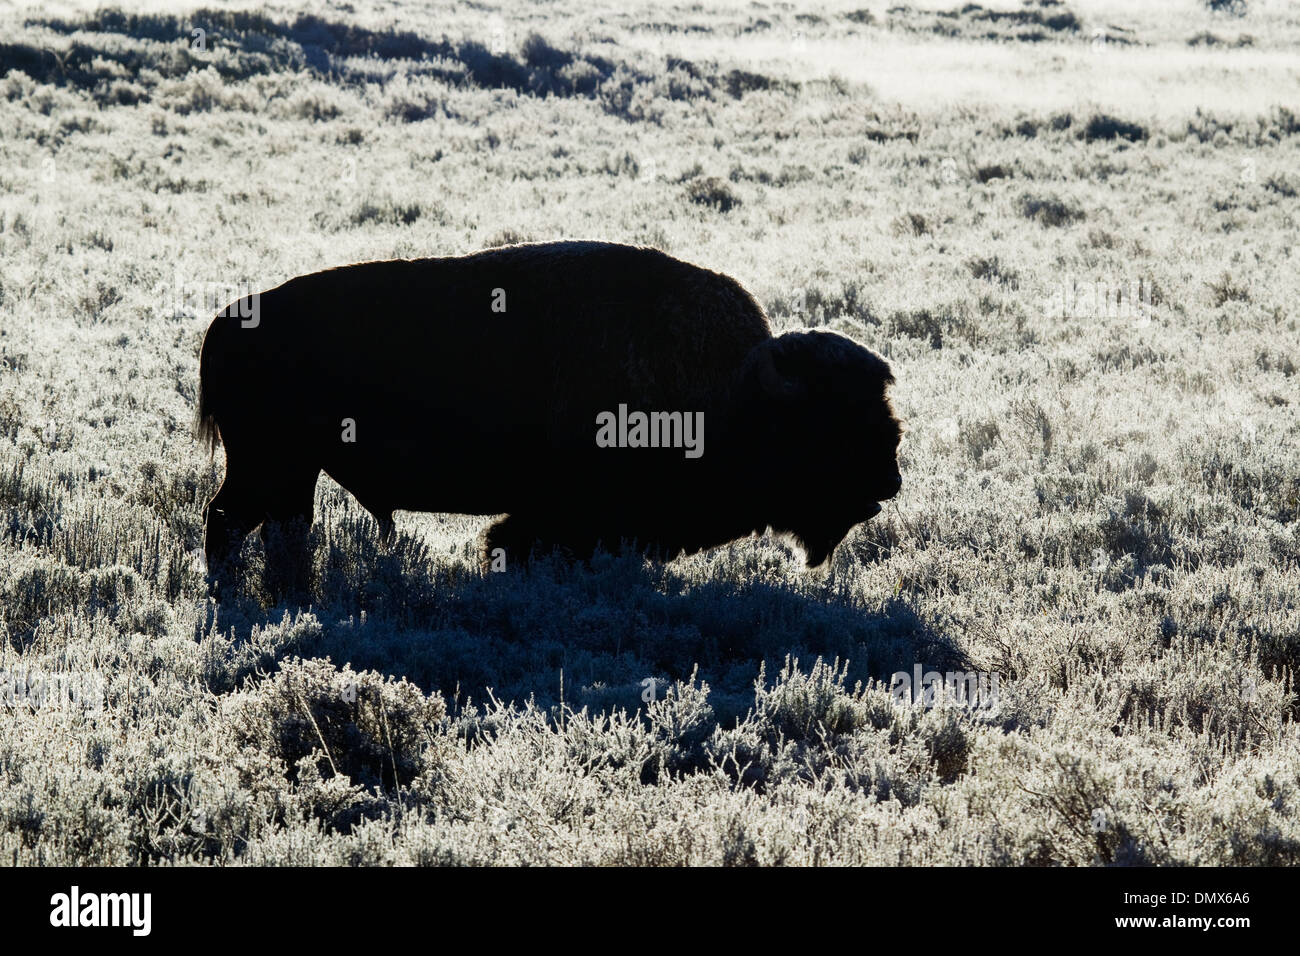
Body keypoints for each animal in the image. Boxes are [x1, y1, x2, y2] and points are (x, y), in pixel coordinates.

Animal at [197, 241, 902, 592]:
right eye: (830, 423)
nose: (888, 482)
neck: (732, 391)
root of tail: (230, 321)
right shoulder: (560, 519)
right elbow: (517, 543)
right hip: (269, 468)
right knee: (227, 520)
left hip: (293, 475)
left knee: (277, 528)